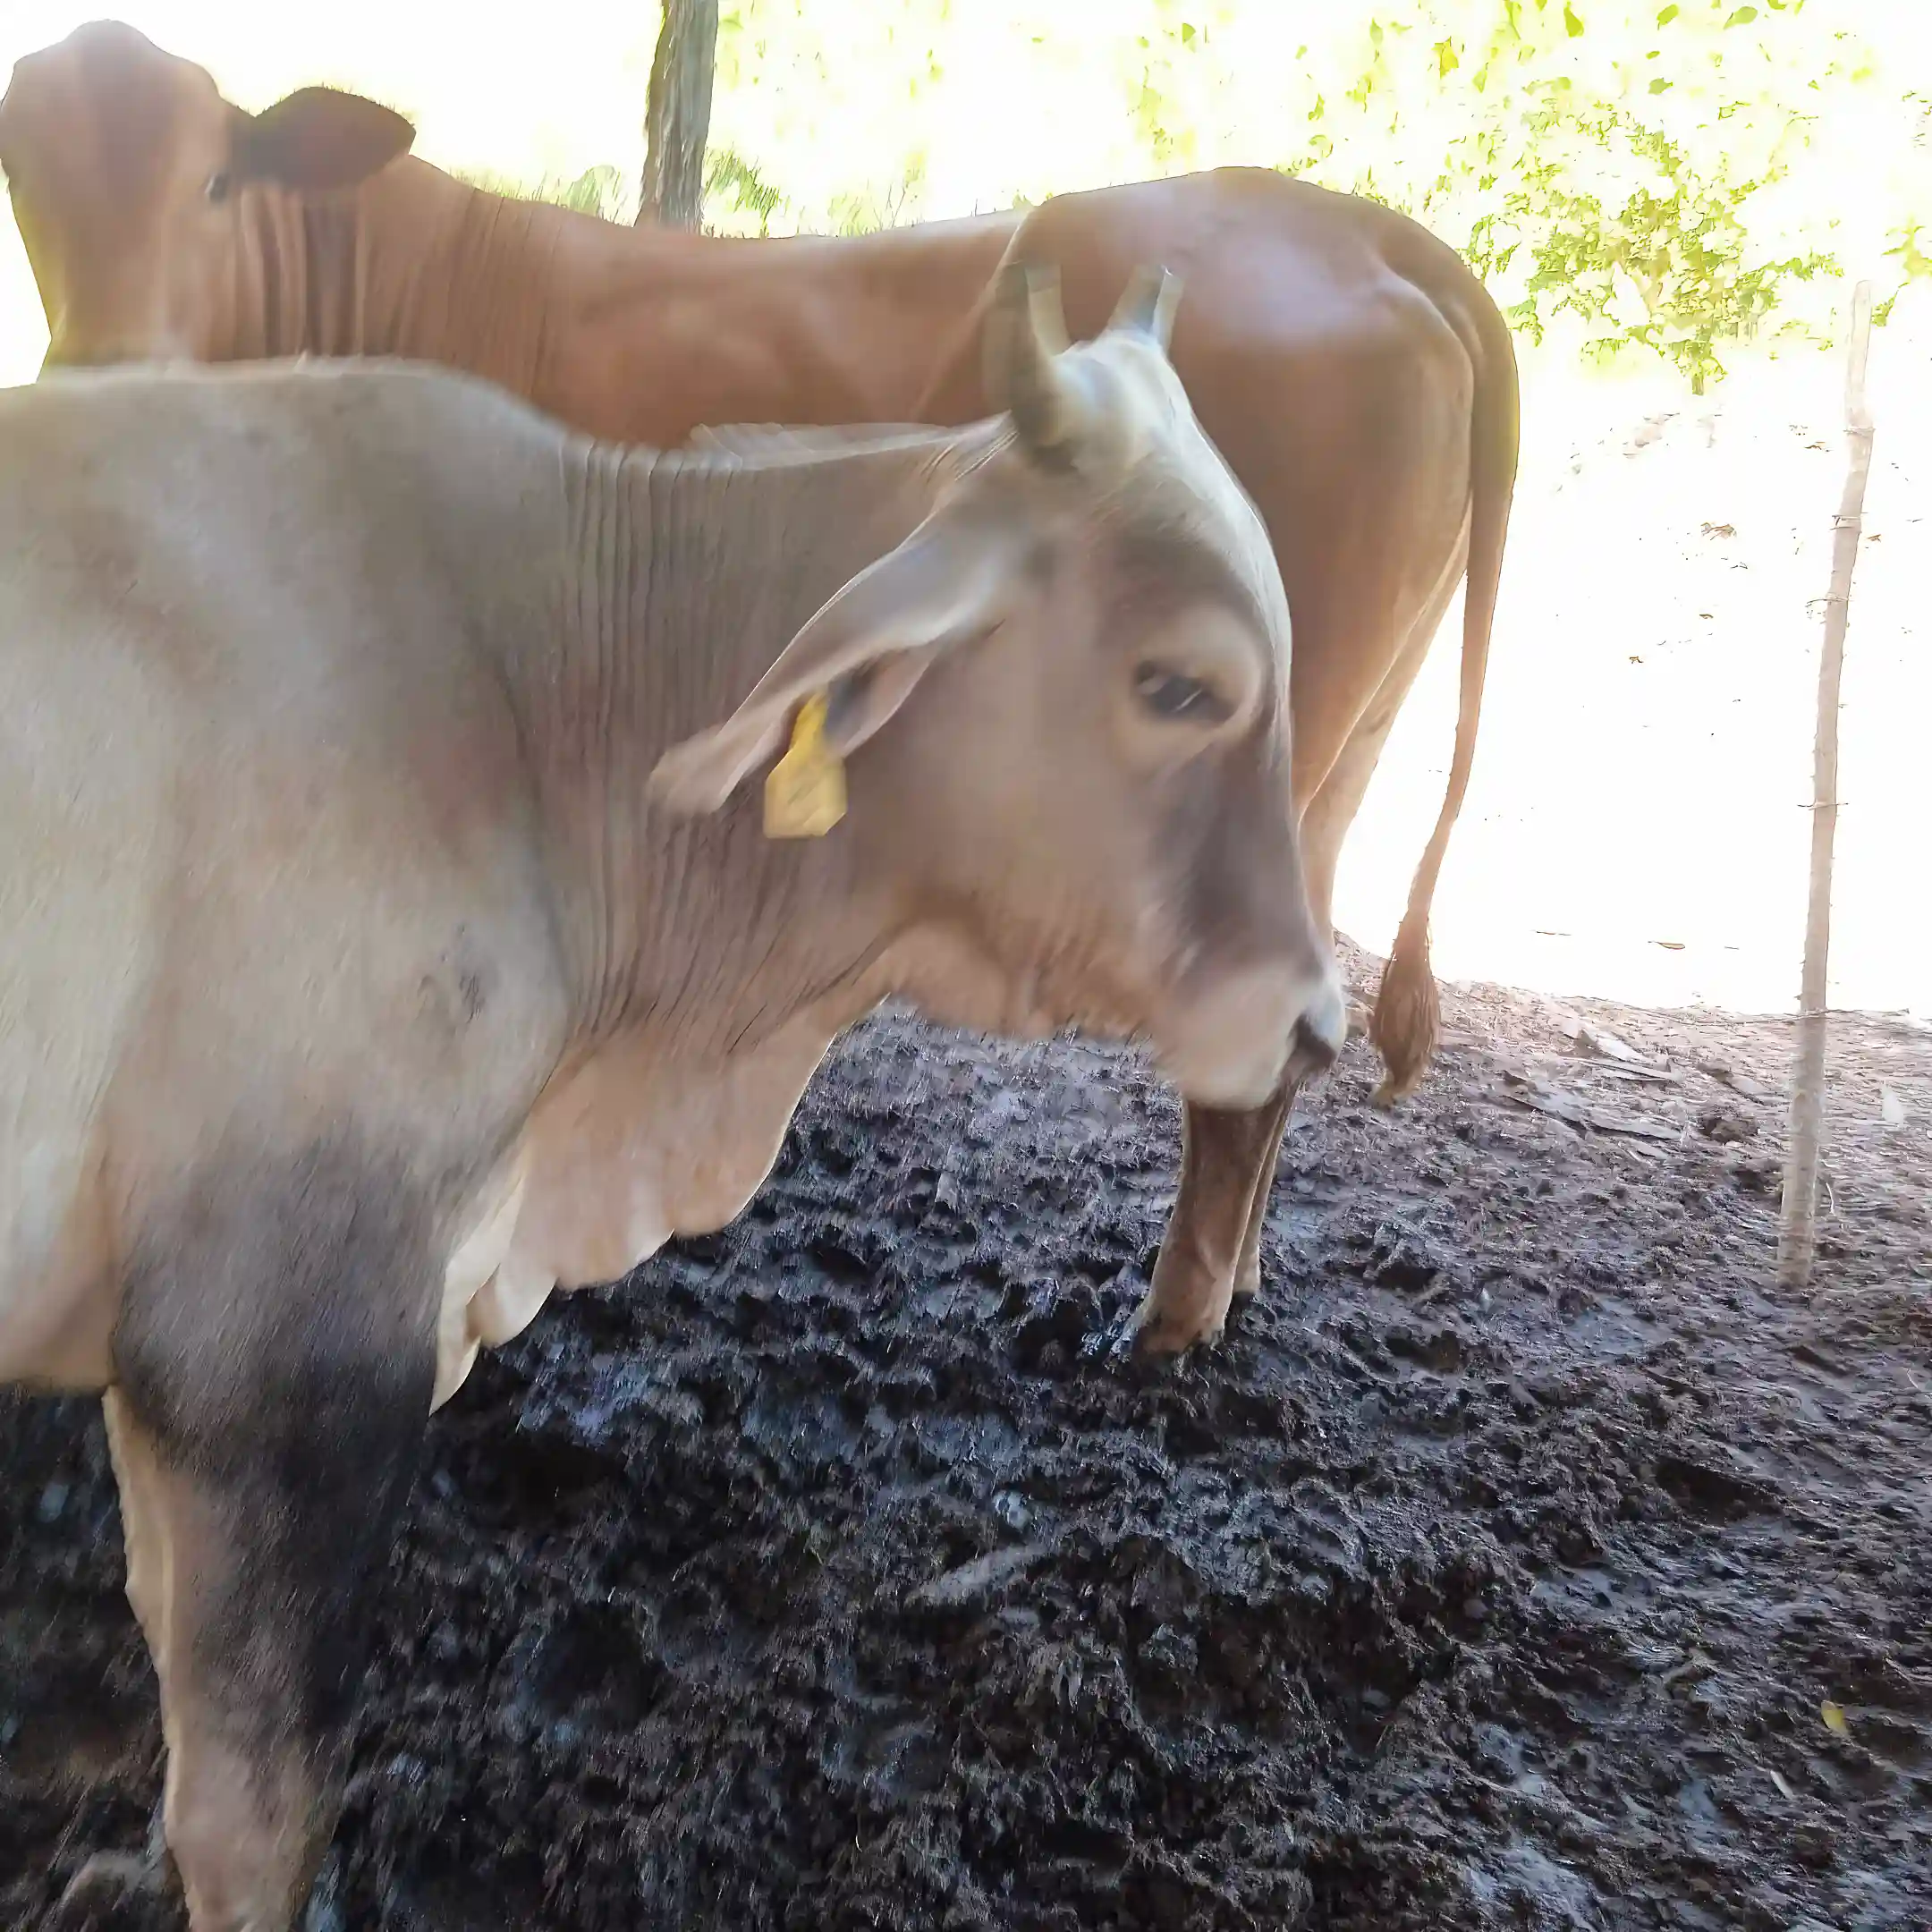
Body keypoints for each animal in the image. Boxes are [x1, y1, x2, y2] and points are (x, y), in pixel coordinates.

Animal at [0, 20, 1519, 1354]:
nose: (104, 368)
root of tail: (1369, 230)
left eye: (214, 179)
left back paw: (1170, 1324)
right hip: (1334, 763)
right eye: (25, 190)